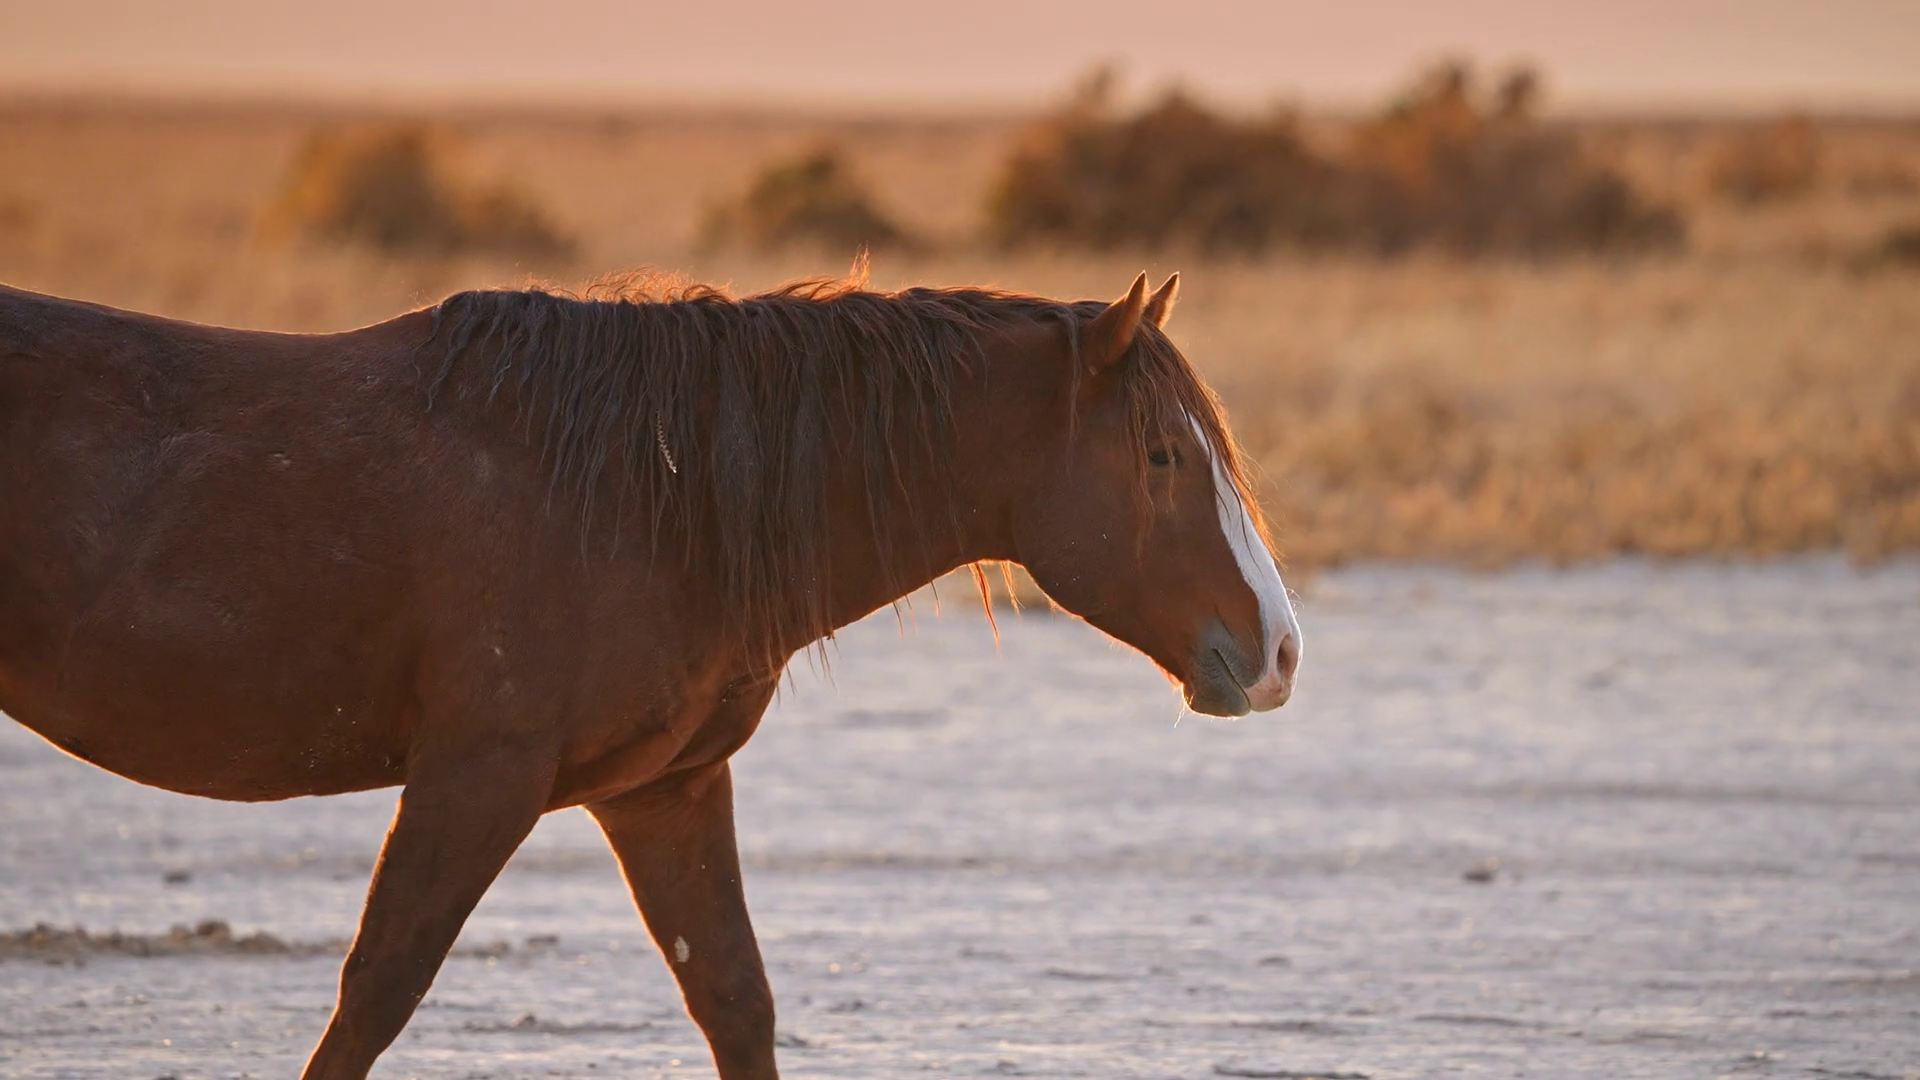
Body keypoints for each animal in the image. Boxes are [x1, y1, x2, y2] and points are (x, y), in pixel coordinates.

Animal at [0, 269, 1301, 1079]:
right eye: (1161, 456)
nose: (1283, 652)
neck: (651, 497)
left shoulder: (662, 792)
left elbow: (738, 1003)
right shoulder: (476, 779)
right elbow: (375, 995)